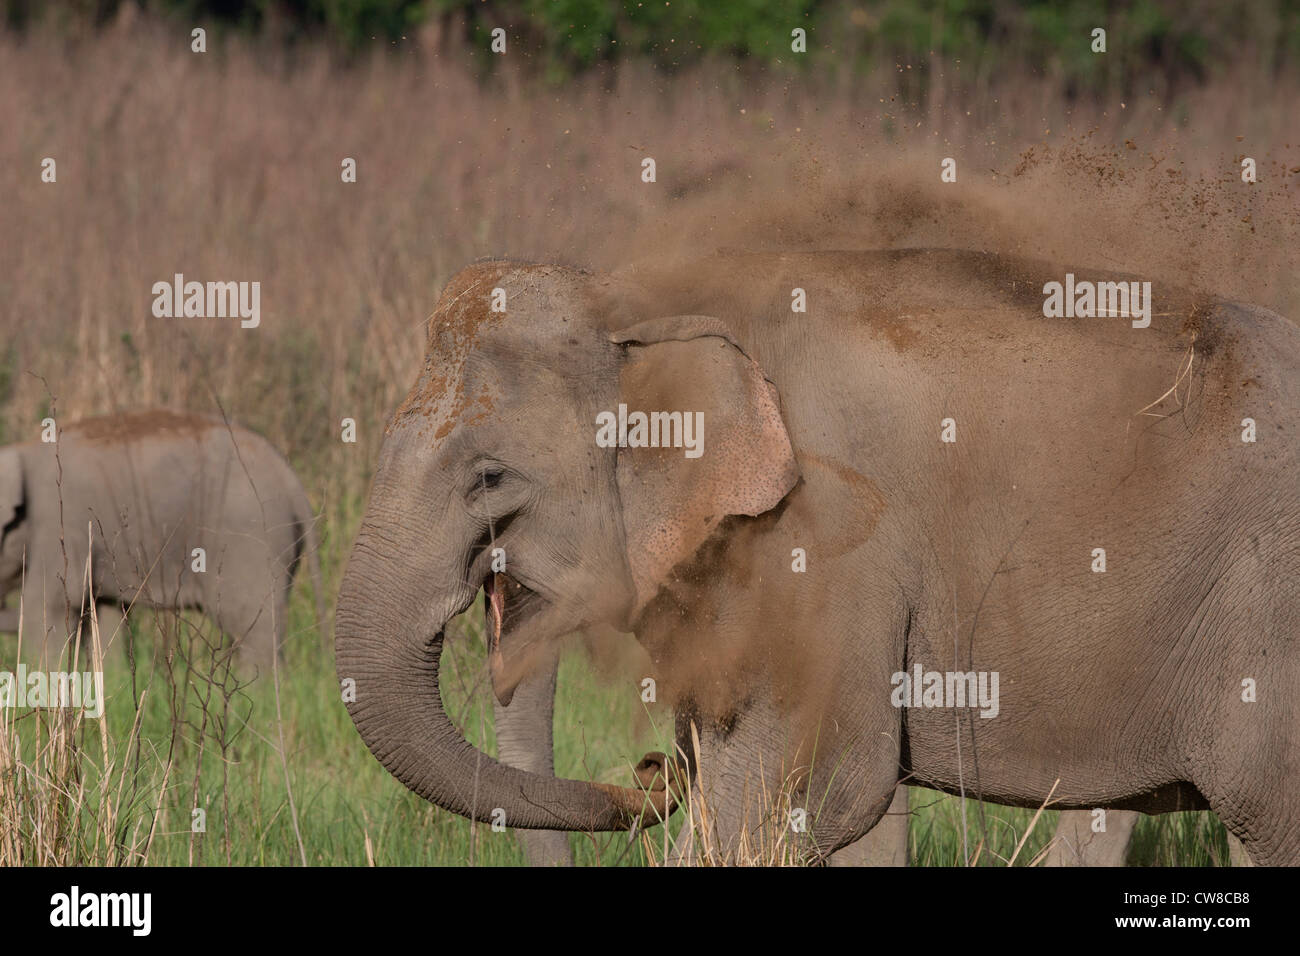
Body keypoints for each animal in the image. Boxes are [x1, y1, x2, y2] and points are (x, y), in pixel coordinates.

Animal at [0, 409, 325, 667]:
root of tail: (291, 479)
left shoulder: (60, 524)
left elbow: (46, 606)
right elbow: (105, 612)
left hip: (250, 540)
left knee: (250, 630)